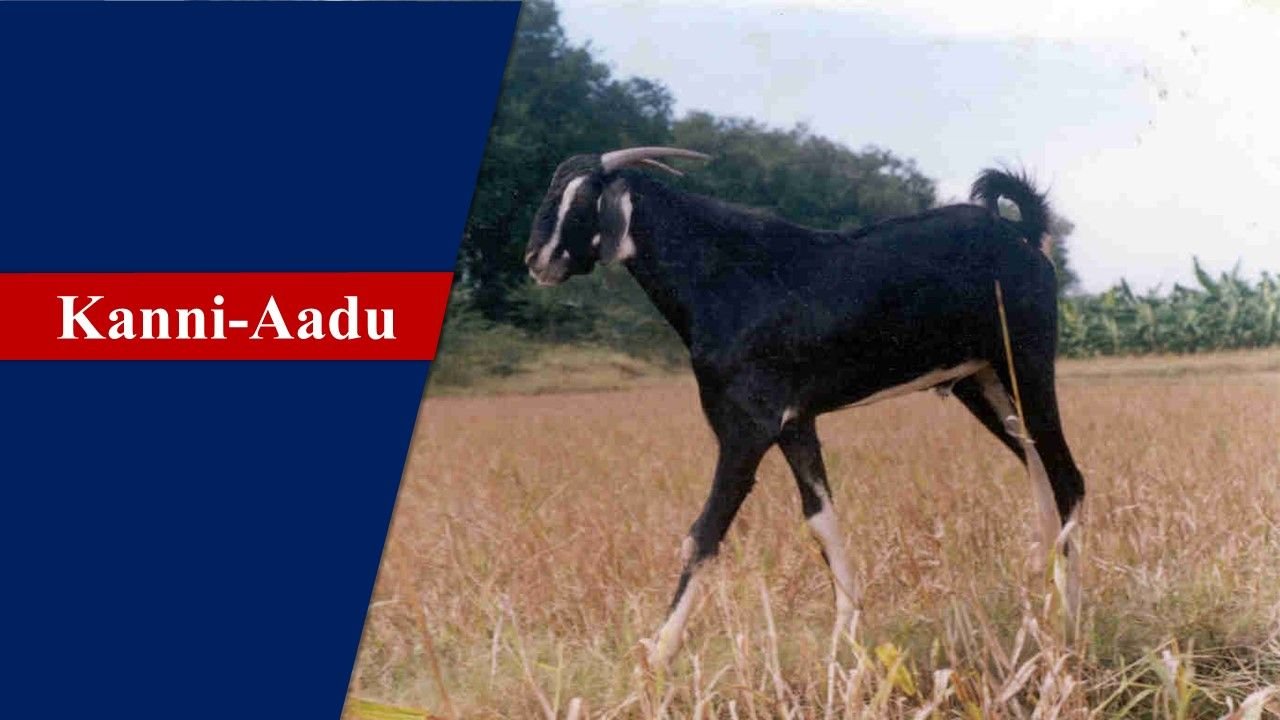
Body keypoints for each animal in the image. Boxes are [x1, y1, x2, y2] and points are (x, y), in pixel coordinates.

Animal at [523, 146, 1085, 667]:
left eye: (583, 199)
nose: (537, 260)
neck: (724, 278)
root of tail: (1021, 235)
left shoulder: (747, 426)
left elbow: (703, 534)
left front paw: (658, 654)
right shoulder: (795, 423)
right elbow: (820, 520)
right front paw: (844, 641)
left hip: (1026, 363)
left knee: (1068, 479)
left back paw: (1066, 619)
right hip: (982, 381)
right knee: (1036, 466)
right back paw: (1040, 590)